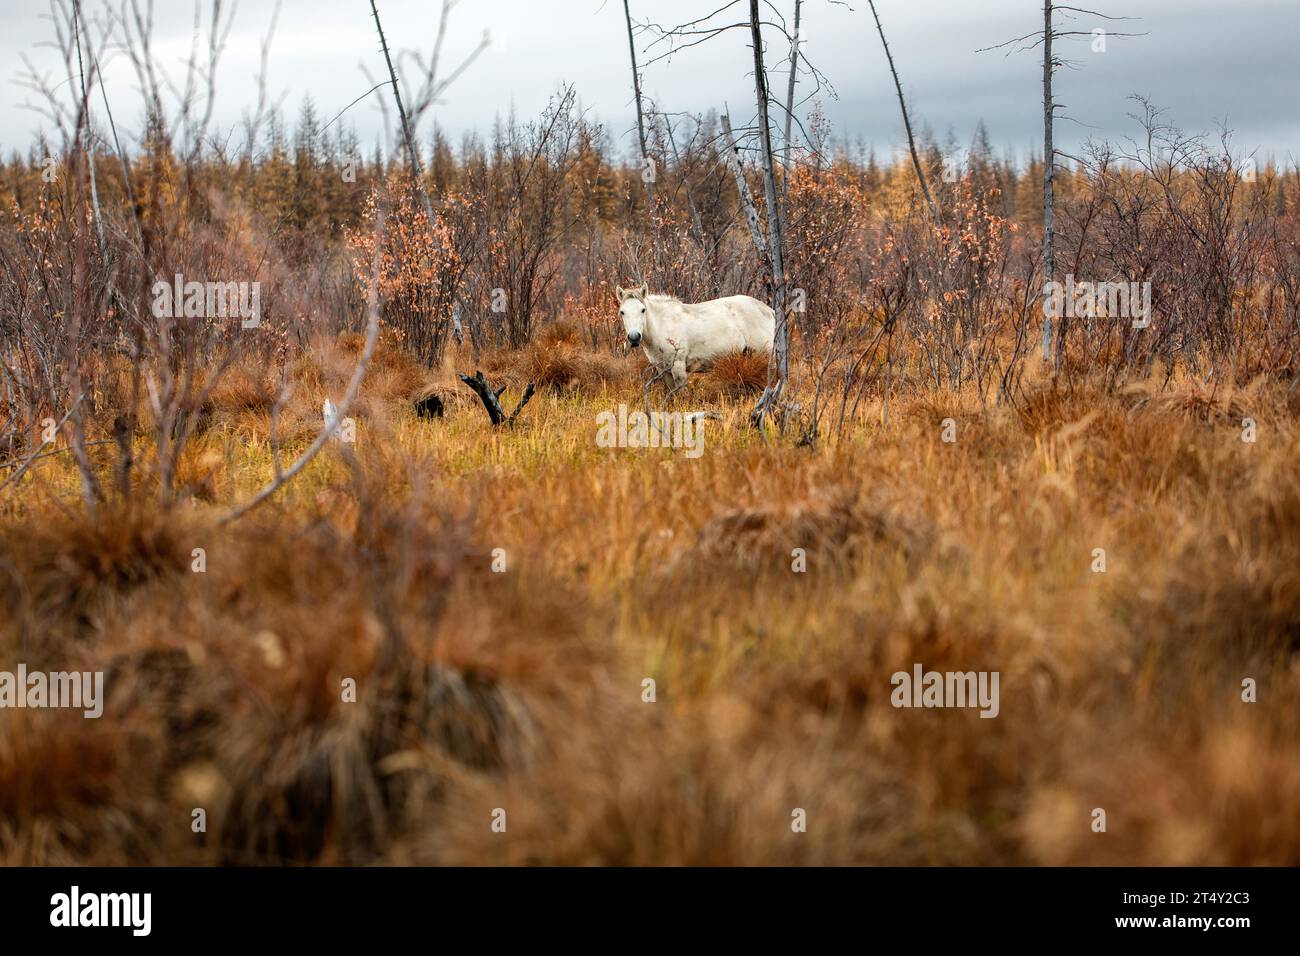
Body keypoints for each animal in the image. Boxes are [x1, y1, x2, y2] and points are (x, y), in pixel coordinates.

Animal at [616, 283, 775, 387]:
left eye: (643, 310)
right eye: (622, 312)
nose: (634, 337)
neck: (662, 325)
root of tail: (769, 310)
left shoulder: (678, 366)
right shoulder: (663, 370)